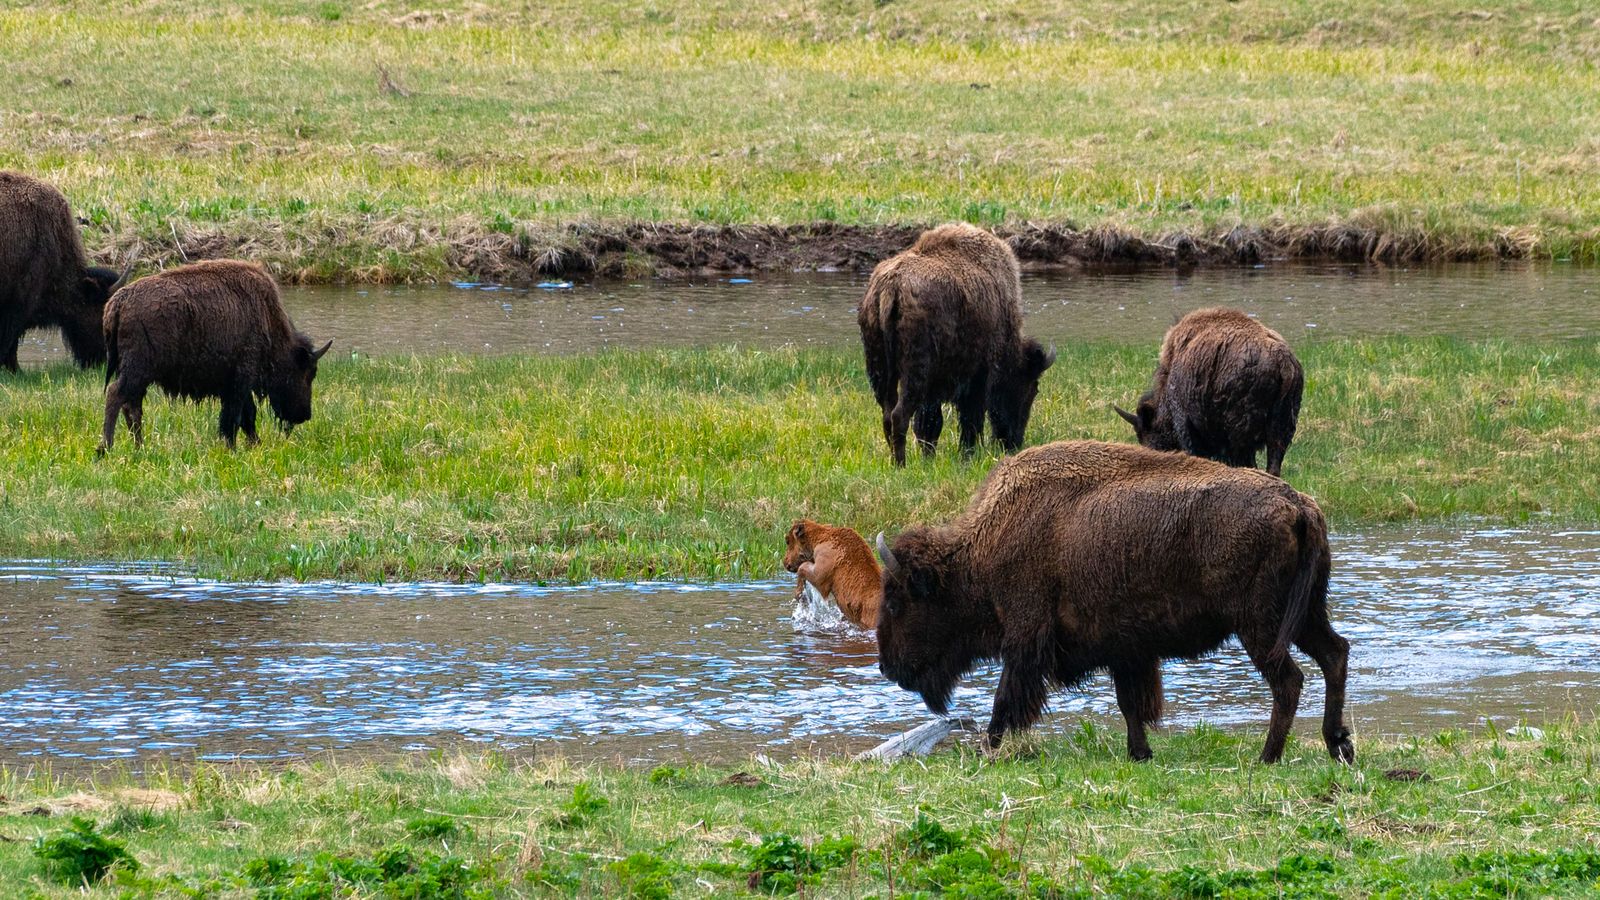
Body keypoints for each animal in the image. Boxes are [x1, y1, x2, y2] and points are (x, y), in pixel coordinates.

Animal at [99, 260, 331, 453]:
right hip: (138, 370)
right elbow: (237, 416)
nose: (304, 415)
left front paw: (253, 444)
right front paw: (234, 448)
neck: (267, 321)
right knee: (116, 395)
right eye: (308, 373)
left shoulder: (233, 384)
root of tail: (118, 302)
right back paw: (106, 449)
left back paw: (139, 447)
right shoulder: (241, 379)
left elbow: (246, 416)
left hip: (135, 373)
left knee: (132, 406)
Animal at [858, 223, 1055, 465]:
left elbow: (931, 424)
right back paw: (901, 465)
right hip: (914, 375)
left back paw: (896, 461)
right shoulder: (977, 377)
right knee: (899, 415)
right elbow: (969, 419)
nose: (1013, 443)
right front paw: (967, 454)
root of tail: (891, 286)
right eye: (1031, 387)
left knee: (888, 415)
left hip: (880, 371)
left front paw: (930, 458)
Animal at [874, 440, 1352, 764]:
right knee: (1335, 654)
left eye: (897, 604)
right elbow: (1130, 703)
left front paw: (987, 748)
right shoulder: (1127, 649)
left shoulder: (1025, 636)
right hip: (1305, 615)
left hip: (1260, 626)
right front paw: (1140, 752)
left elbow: (1005, 698)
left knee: (1288, 680)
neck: (982, 548)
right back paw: (1338, 745)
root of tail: (1298, 505)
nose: (887, 668)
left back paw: (1267, 757)